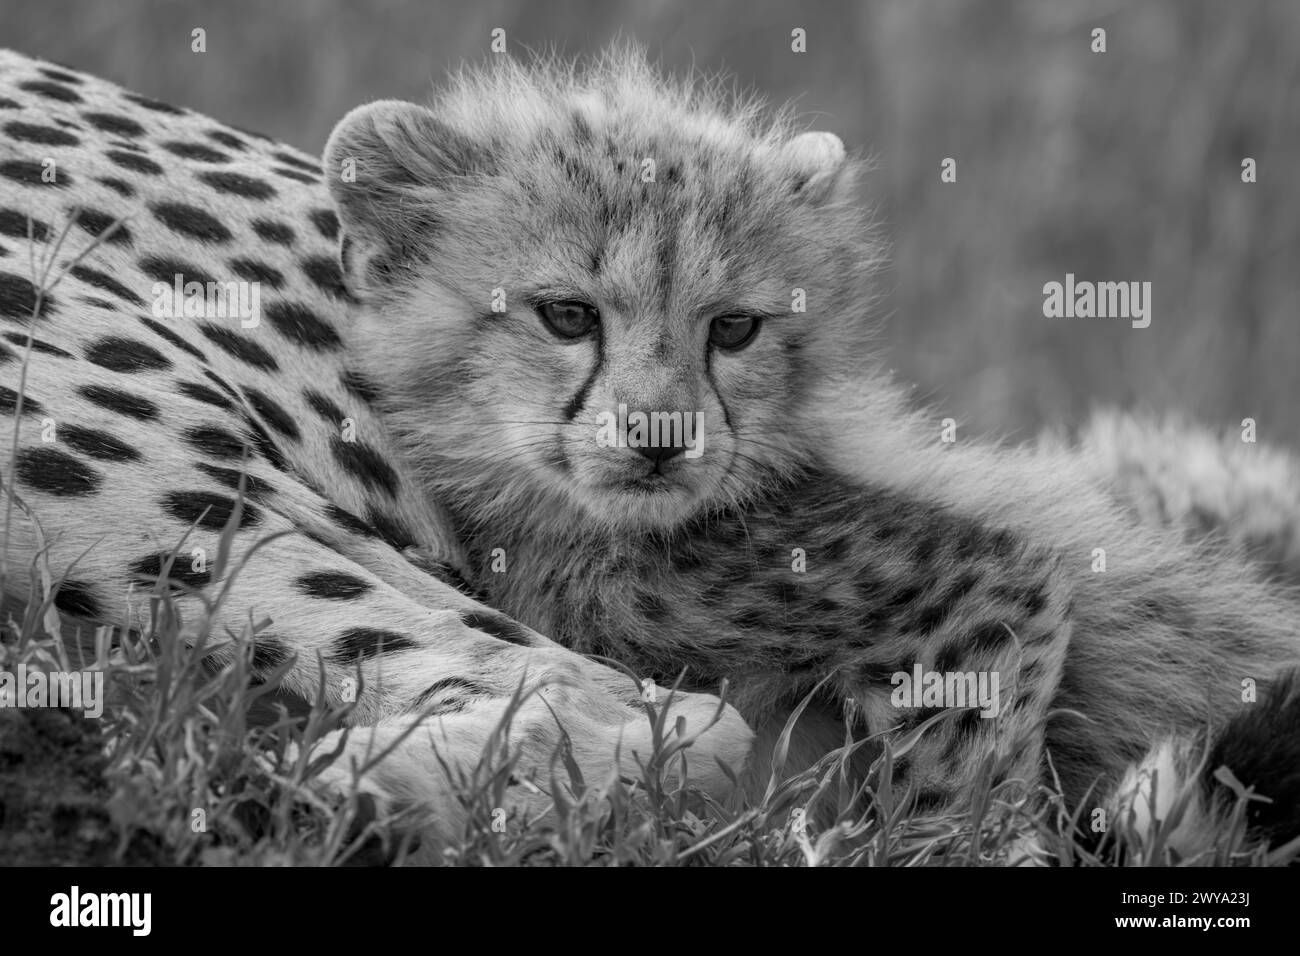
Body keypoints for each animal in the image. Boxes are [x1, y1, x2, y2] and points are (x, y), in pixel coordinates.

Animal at [1, 44, 1297, 861]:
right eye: (567, 314)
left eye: (734, 328)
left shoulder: (981, 573)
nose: (663, 437)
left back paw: (350, 789)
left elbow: (946, 760)